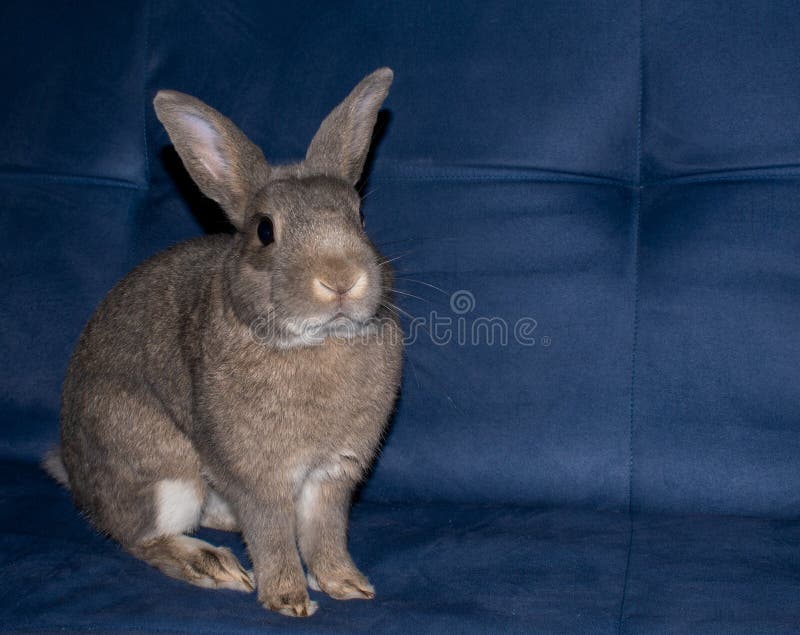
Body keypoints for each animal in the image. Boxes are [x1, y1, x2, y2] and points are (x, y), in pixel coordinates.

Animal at [43, 68, 403, 617]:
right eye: (264, 231)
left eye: (359, 218)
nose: (340, 280)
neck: (315, 343)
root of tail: (80, 484)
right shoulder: (257, 477)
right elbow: (272, 535)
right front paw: (288, 599)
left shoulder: (331, 475)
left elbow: (326, 533)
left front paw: (346, 584)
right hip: (167, 470)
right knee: (140, 538)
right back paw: (213, 565)